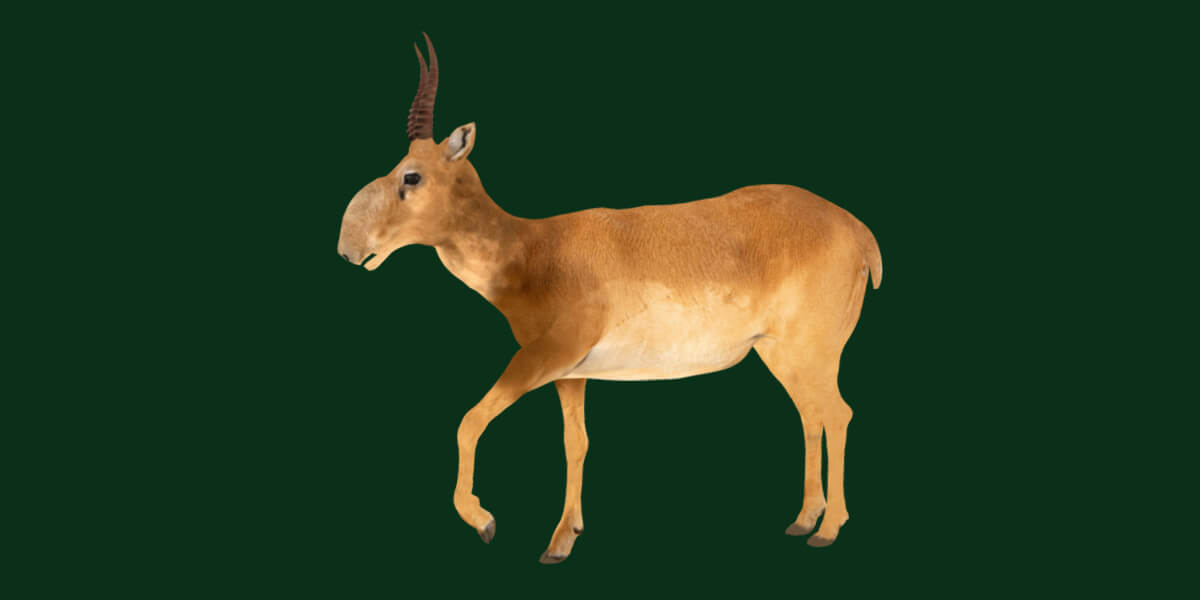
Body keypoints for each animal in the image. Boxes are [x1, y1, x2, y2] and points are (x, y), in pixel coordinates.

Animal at [337, 34, 882, 564]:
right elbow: (575, 443)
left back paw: (827, 530)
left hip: (809, 353)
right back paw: (804, 520)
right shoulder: (569, 373)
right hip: (781, 354)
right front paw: (562, 539)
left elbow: (468, 422)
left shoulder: (539, 358)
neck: (533, 249)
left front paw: (485, 521)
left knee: (837, 414)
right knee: (811, 416)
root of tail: (858, 231)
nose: (349, 249)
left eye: (411, 175)